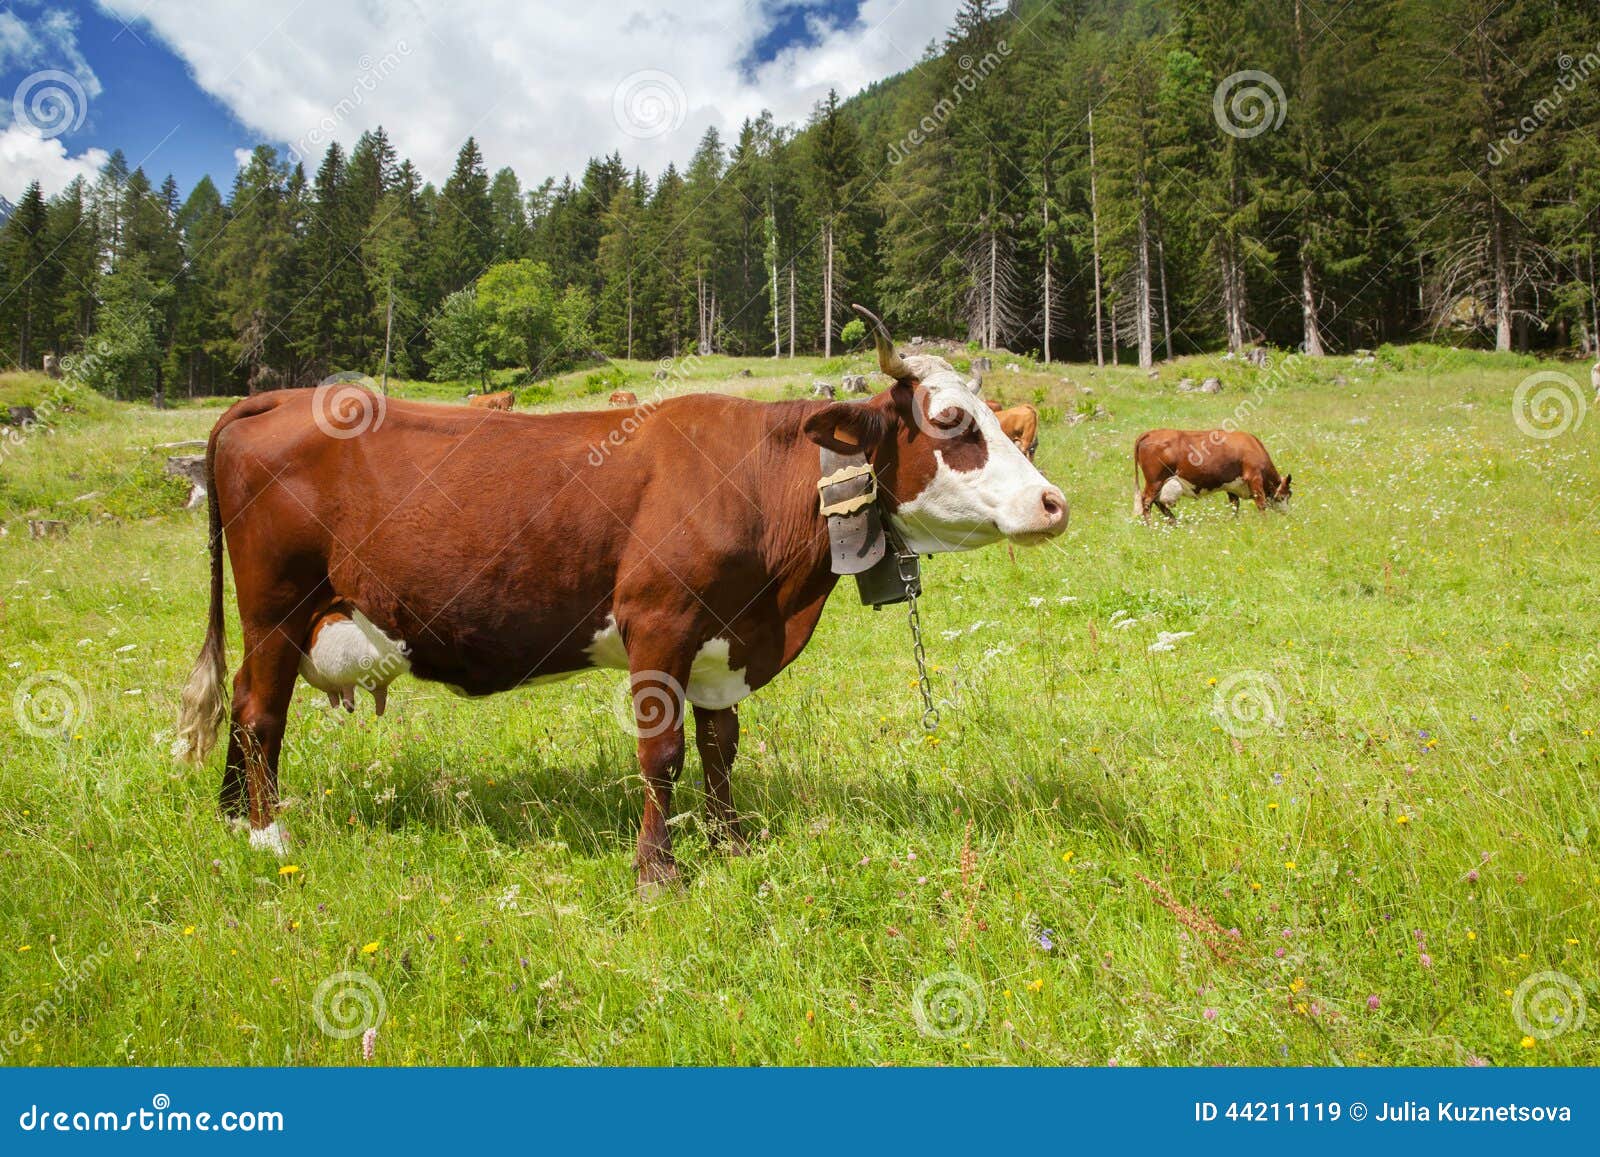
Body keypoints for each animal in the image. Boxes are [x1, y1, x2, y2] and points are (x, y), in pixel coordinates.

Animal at [174, 306, 1068, 893]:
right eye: (950, 422)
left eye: (999, 419)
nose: (1053, 502)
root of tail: (273, 398)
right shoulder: (658, 625)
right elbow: (661, 753)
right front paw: (658, 871)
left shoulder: (723, 641)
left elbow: (720, 747)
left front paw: (730, 843)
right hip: (277, 604)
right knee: (260, 712)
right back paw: (269, 834)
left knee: (244, 704)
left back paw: (230, 818)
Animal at [1134, 428, 1291, 521]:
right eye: (1286, 495)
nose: (1286, 514)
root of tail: (1151, 432)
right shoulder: (1254, 477)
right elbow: (1261, 504)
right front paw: (1265, 522)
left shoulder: (1232, 485)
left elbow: (1235, 505)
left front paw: (1234, 522)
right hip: (1155, 481)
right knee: (1147, 501)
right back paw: (1152, 526)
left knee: (1158, 502)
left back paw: (1174, 522)